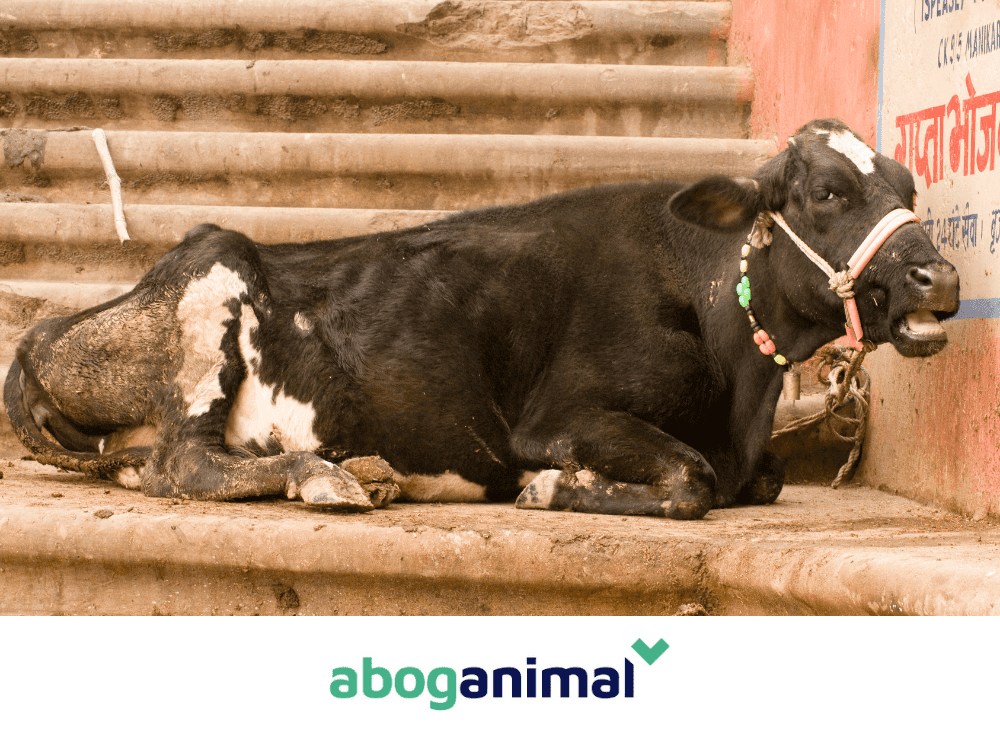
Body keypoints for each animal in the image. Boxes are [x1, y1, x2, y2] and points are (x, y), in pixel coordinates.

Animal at [3, 119, 959, 520]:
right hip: (218, 280)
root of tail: (45, 333)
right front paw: (549, 489)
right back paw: (328, 476)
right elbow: (690, 480)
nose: (939, 275)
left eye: (908, 185)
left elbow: (762, 478)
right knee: (184, 465)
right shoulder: (562, 416)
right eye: (827, 191)